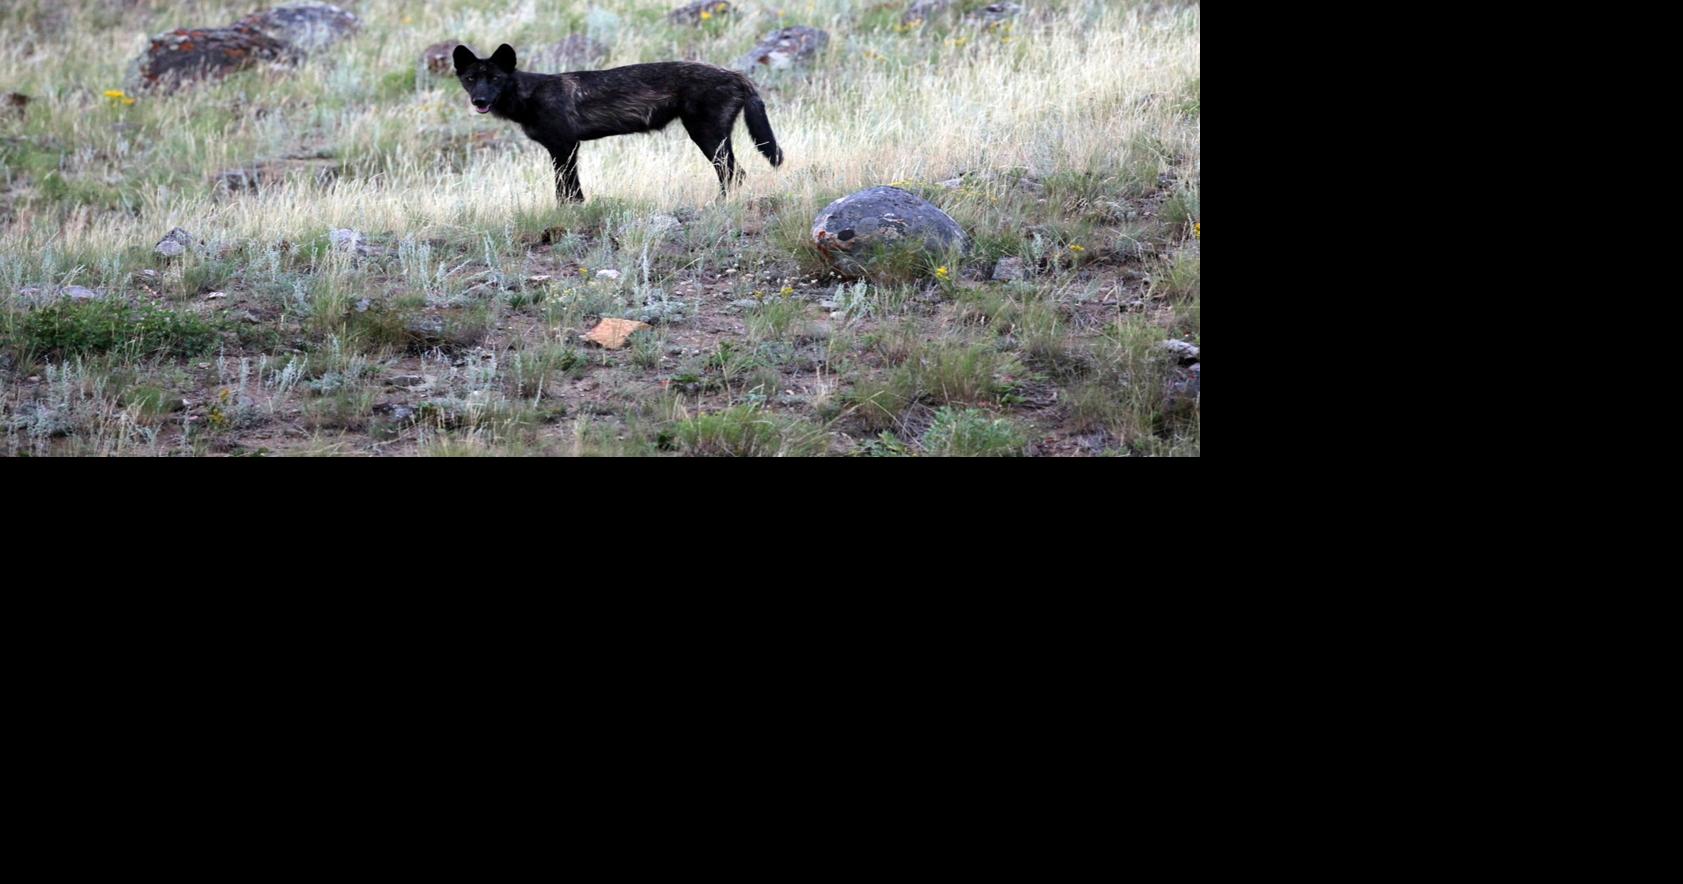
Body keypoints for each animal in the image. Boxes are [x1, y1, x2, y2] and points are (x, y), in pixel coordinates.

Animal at [453, 44, 783, 202]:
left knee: (733, 173)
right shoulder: (560, 149)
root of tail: (736, 74)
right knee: (735, 173)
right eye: (470, 79)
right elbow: (567, 188)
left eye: (495, 78)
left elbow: (566, 189)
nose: (479, 101)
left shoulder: (565, 147)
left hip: (706, 136)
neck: (529, 96)